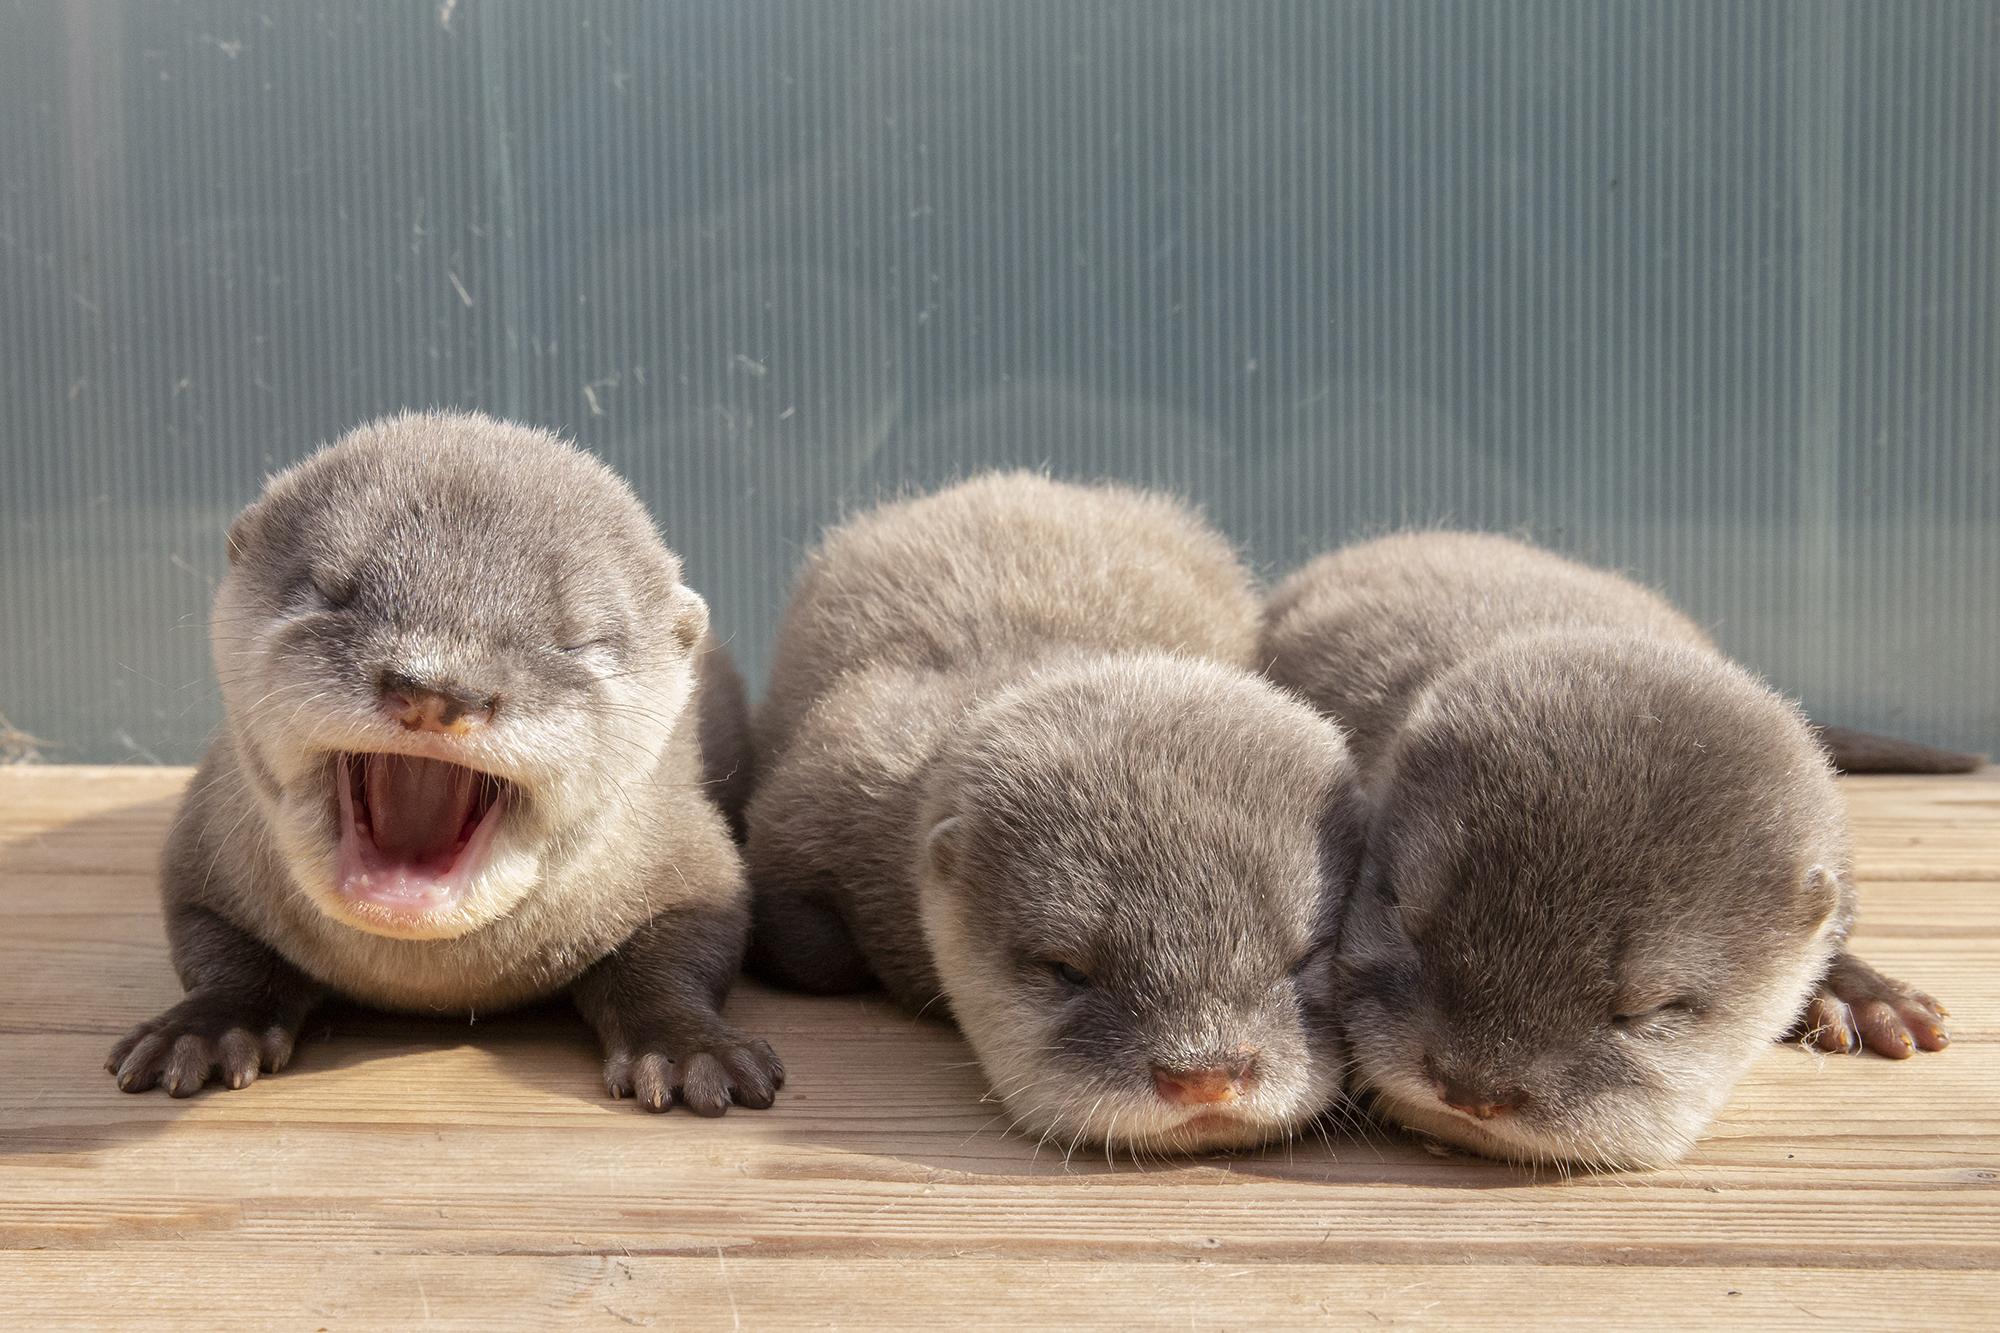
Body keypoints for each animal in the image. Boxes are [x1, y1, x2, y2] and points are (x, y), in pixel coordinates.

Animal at [106, 411, 780, 1115]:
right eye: (330, 593)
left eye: (575, 642)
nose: (435, 691)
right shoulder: (202, 847)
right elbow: (217, 946)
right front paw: (203, 1031)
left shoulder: (689, 852)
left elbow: (682, 950)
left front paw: (687, 1049)